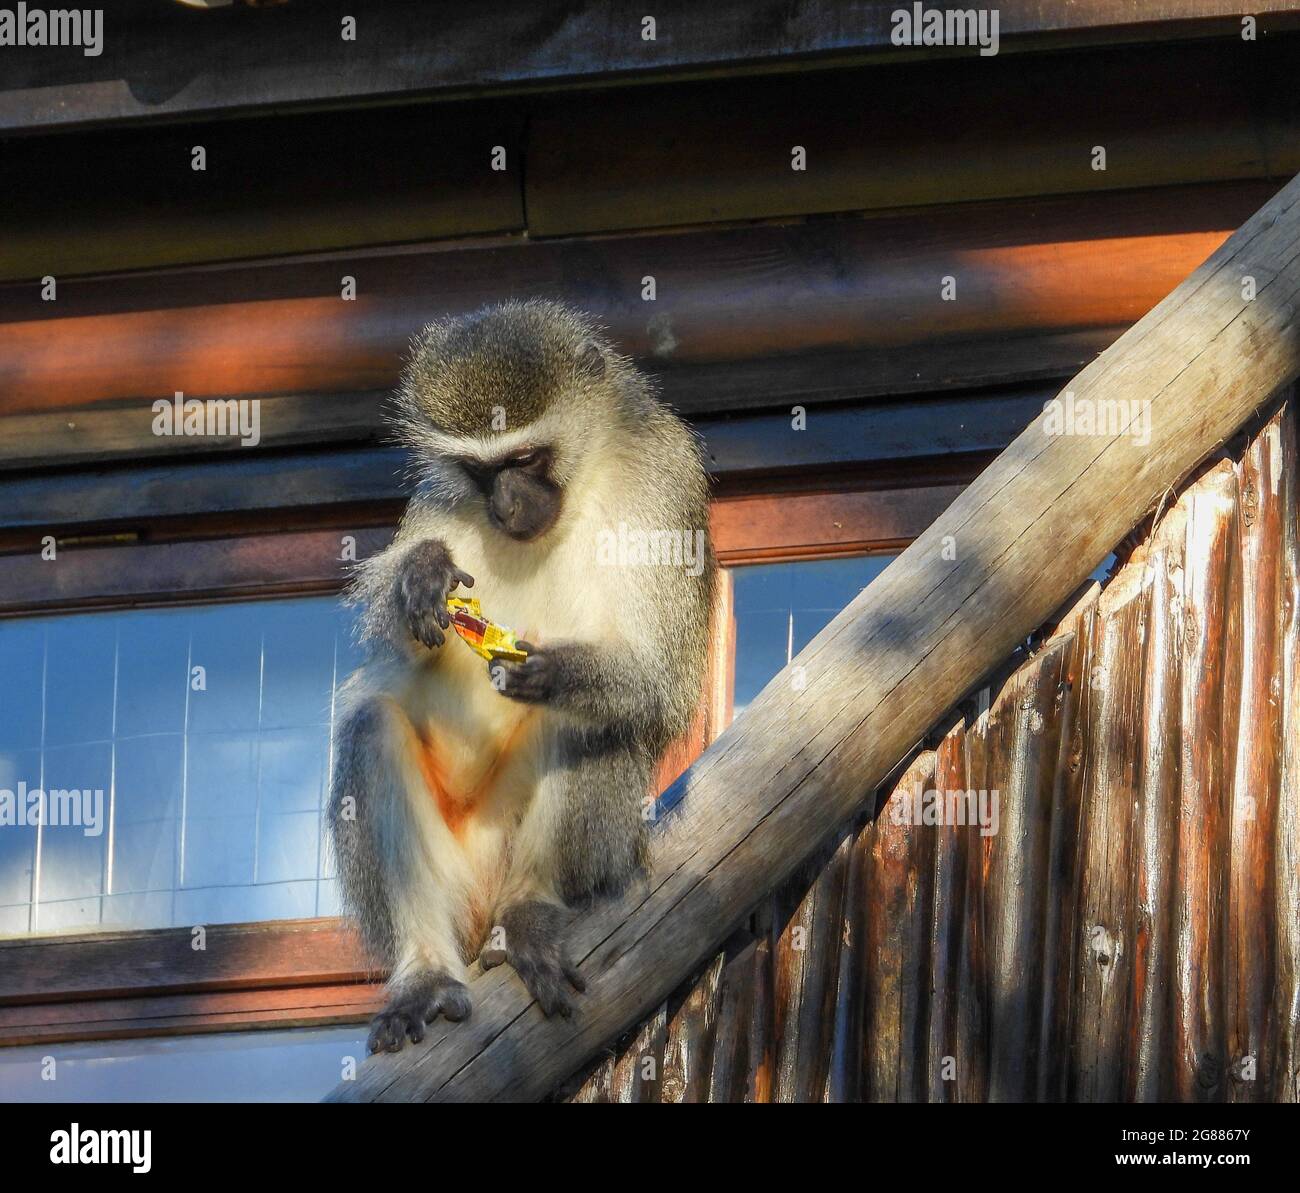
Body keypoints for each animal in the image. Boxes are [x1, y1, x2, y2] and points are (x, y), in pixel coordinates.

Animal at [328, 300, 716, 1053]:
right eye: (478, 472)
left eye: (527, 458)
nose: (506, 506)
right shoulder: (439, 501)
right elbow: (397, 656)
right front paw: (417, 577)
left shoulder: (664, 479)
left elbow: (662, 679)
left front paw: (556, 670)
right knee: (371, 724)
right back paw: (425, 973)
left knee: (593, 719)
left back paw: (532, 910)